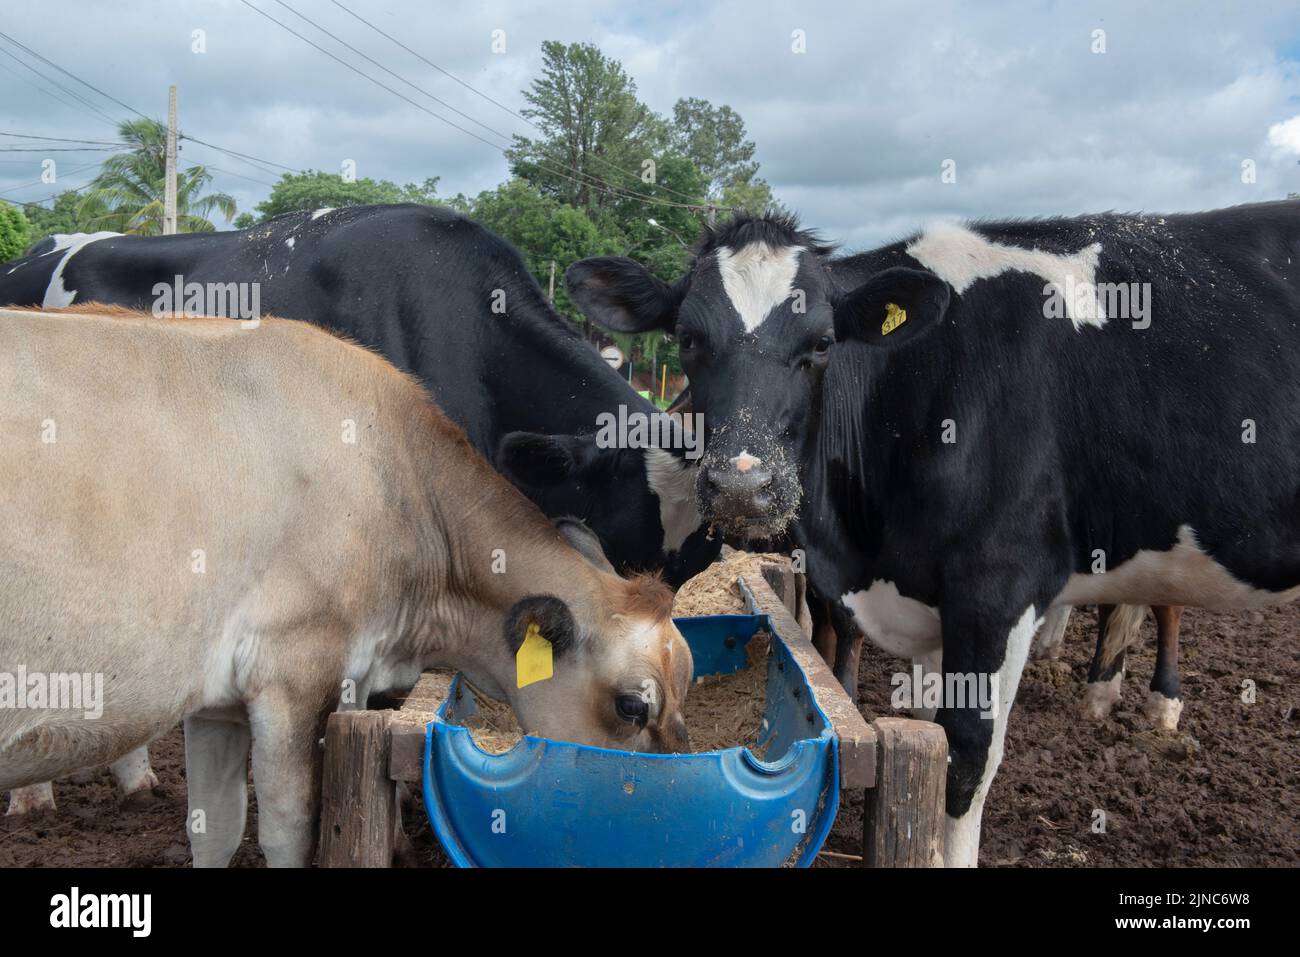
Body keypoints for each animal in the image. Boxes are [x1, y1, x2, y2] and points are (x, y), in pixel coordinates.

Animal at [0, 304, 694, 867]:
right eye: (632, 706)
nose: (669, 797)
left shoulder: (215, 701)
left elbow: (215, 831)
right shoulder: (296, 669)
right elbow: (290, 833)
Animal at [564, 201, 1300, 865]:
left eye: (822, 343)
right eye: (688, 338)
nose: (745, 486)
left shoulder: (998, 587)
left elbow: (969, 754)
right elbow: (926, 732)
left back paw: (1162, 704)